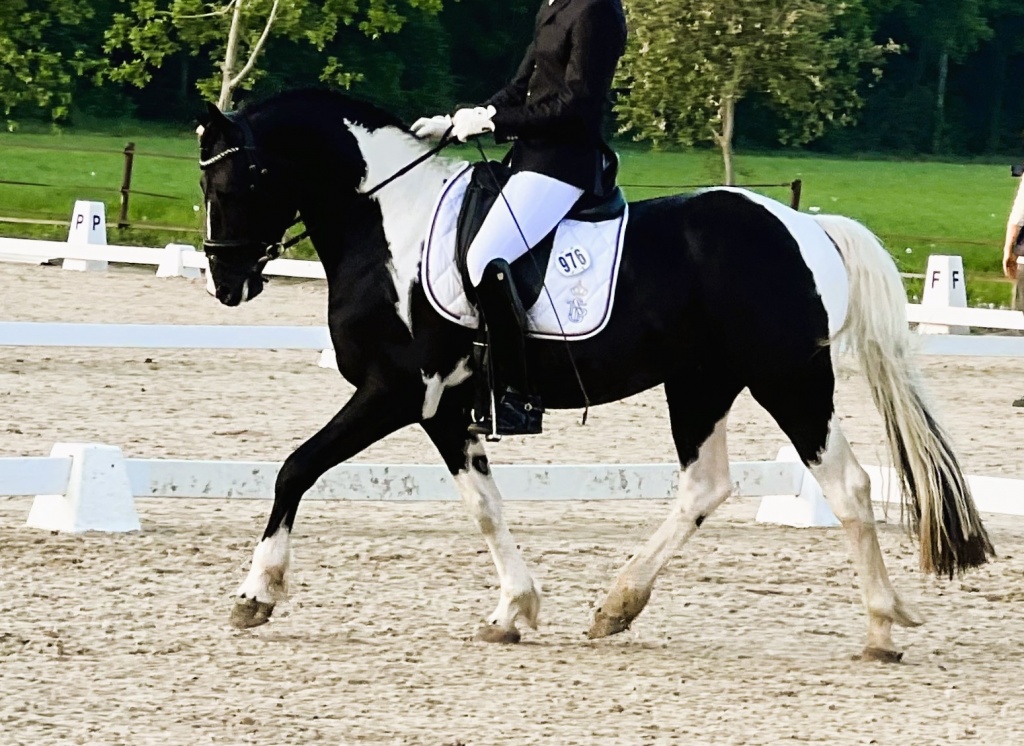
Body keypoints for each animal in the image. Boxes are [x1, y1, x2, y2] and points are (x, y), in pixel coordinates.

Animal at [197, 88, 993, 660]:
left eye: (238, 180)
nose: (225, 283)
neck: (390, 223)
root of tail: (806, 226)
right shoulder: (442, 407)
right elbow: (484, 506)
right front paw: (513, 610)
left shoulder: (396, 392)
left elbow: (296, 467)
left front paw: (255, 595)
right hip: (700, 383)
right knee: (705, 486)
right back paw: (617, 606)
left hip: (789, 381)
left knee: (848, 486)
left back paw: (881, 630)